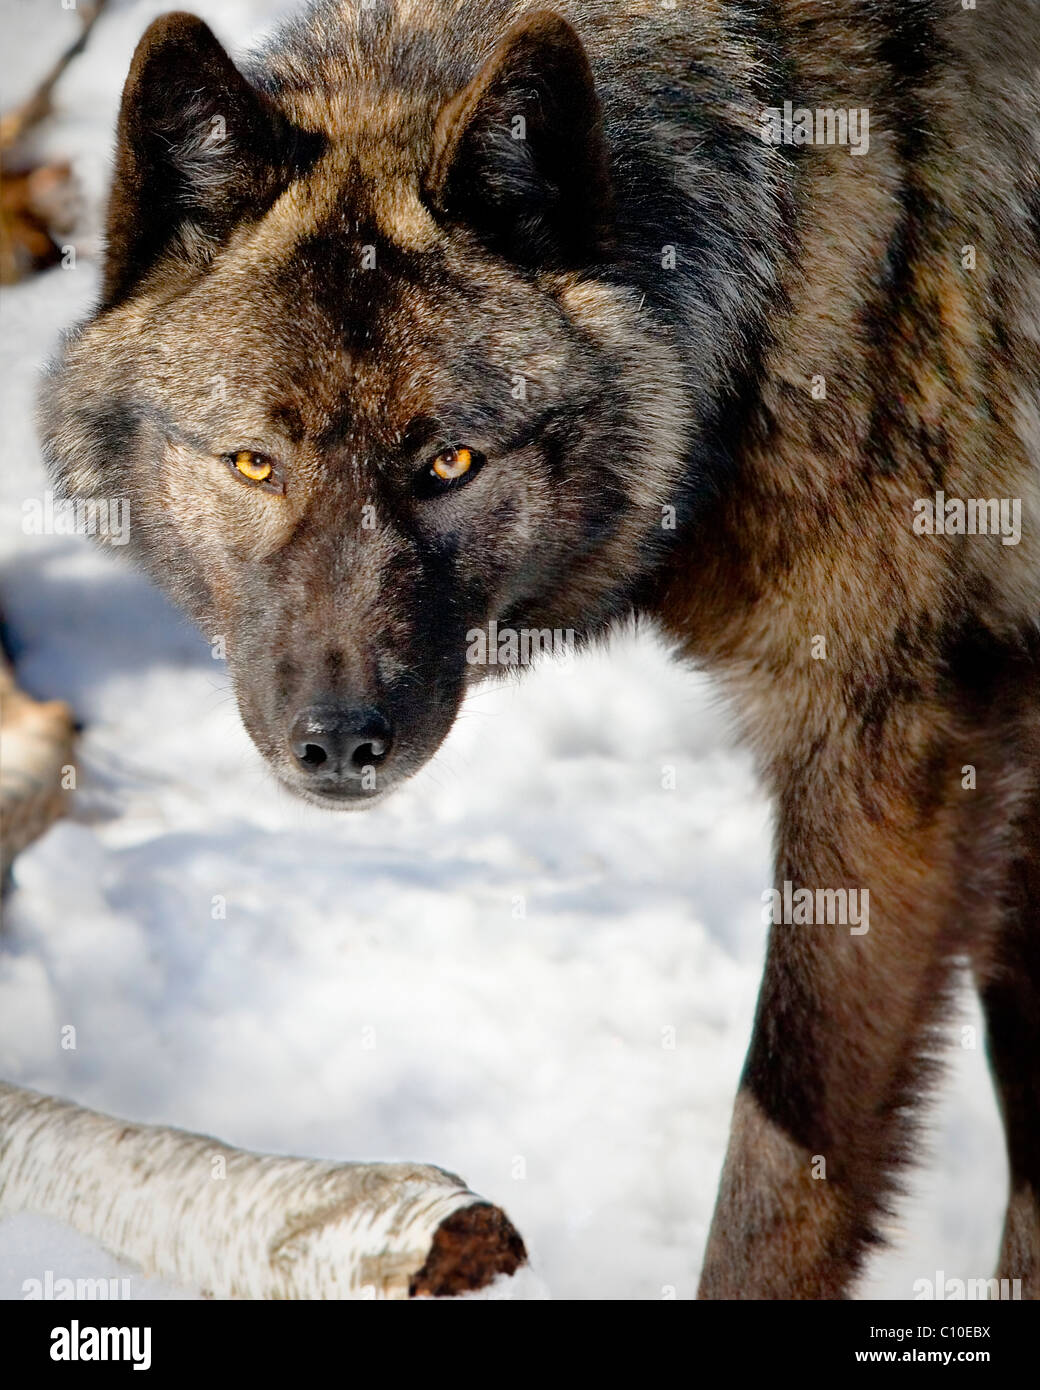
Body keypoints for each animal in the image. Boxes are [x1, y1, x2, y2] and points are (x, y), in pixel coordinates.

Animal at [38, 0, 1040, 1298]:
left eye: (449, 462)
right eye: (256, 462)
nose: (338, 743)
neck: (793, 235)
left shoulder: (892, 749)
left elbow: (777, 1179)